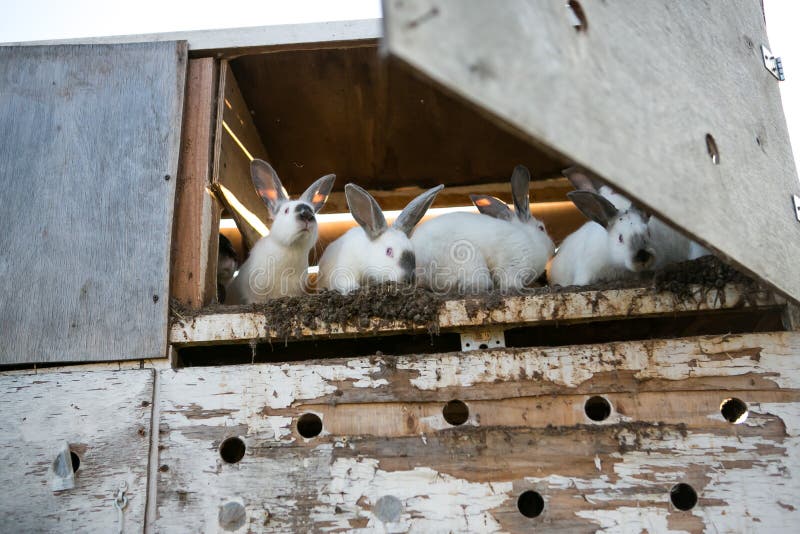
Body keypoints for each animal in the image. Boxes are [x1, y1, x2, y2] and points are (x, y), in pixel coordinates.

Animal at [412, 165, 555, 294]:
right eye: (541, 228)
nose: (553, 248)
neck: (530, 238)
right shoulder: (514, 263)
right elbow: (510, 282)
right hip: (469, 259)